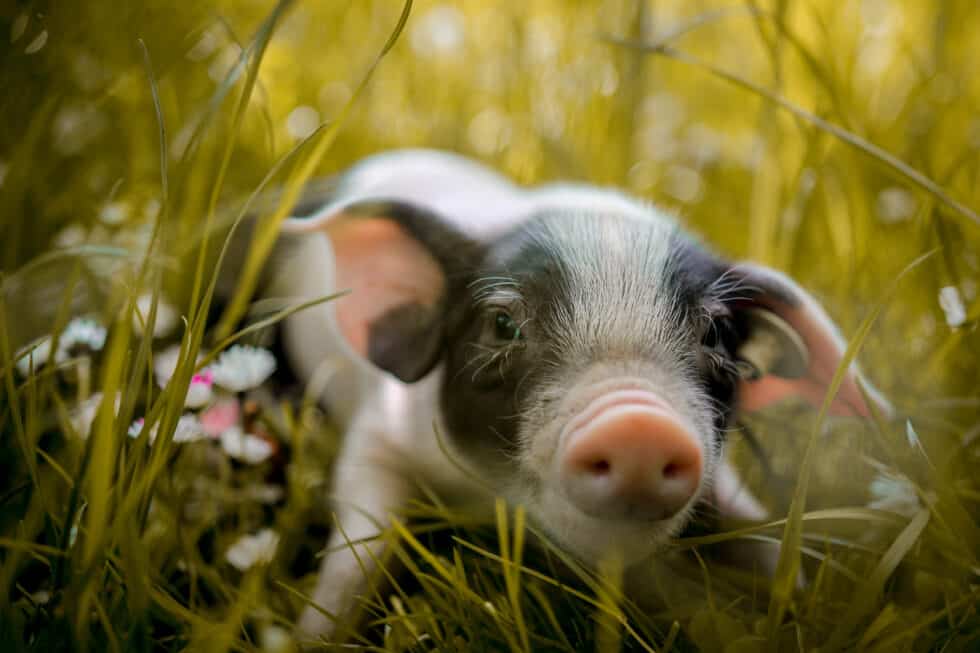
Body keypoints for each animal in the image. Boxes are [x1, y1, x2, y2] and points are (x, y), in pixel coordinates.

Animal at [257, 149, 890, 644]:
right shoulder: (381, 428)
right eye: (503, 324)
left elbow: (757, 535)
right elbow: (363, 537)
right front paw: (309, 637)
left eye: (714, 332)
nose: (637, 425)